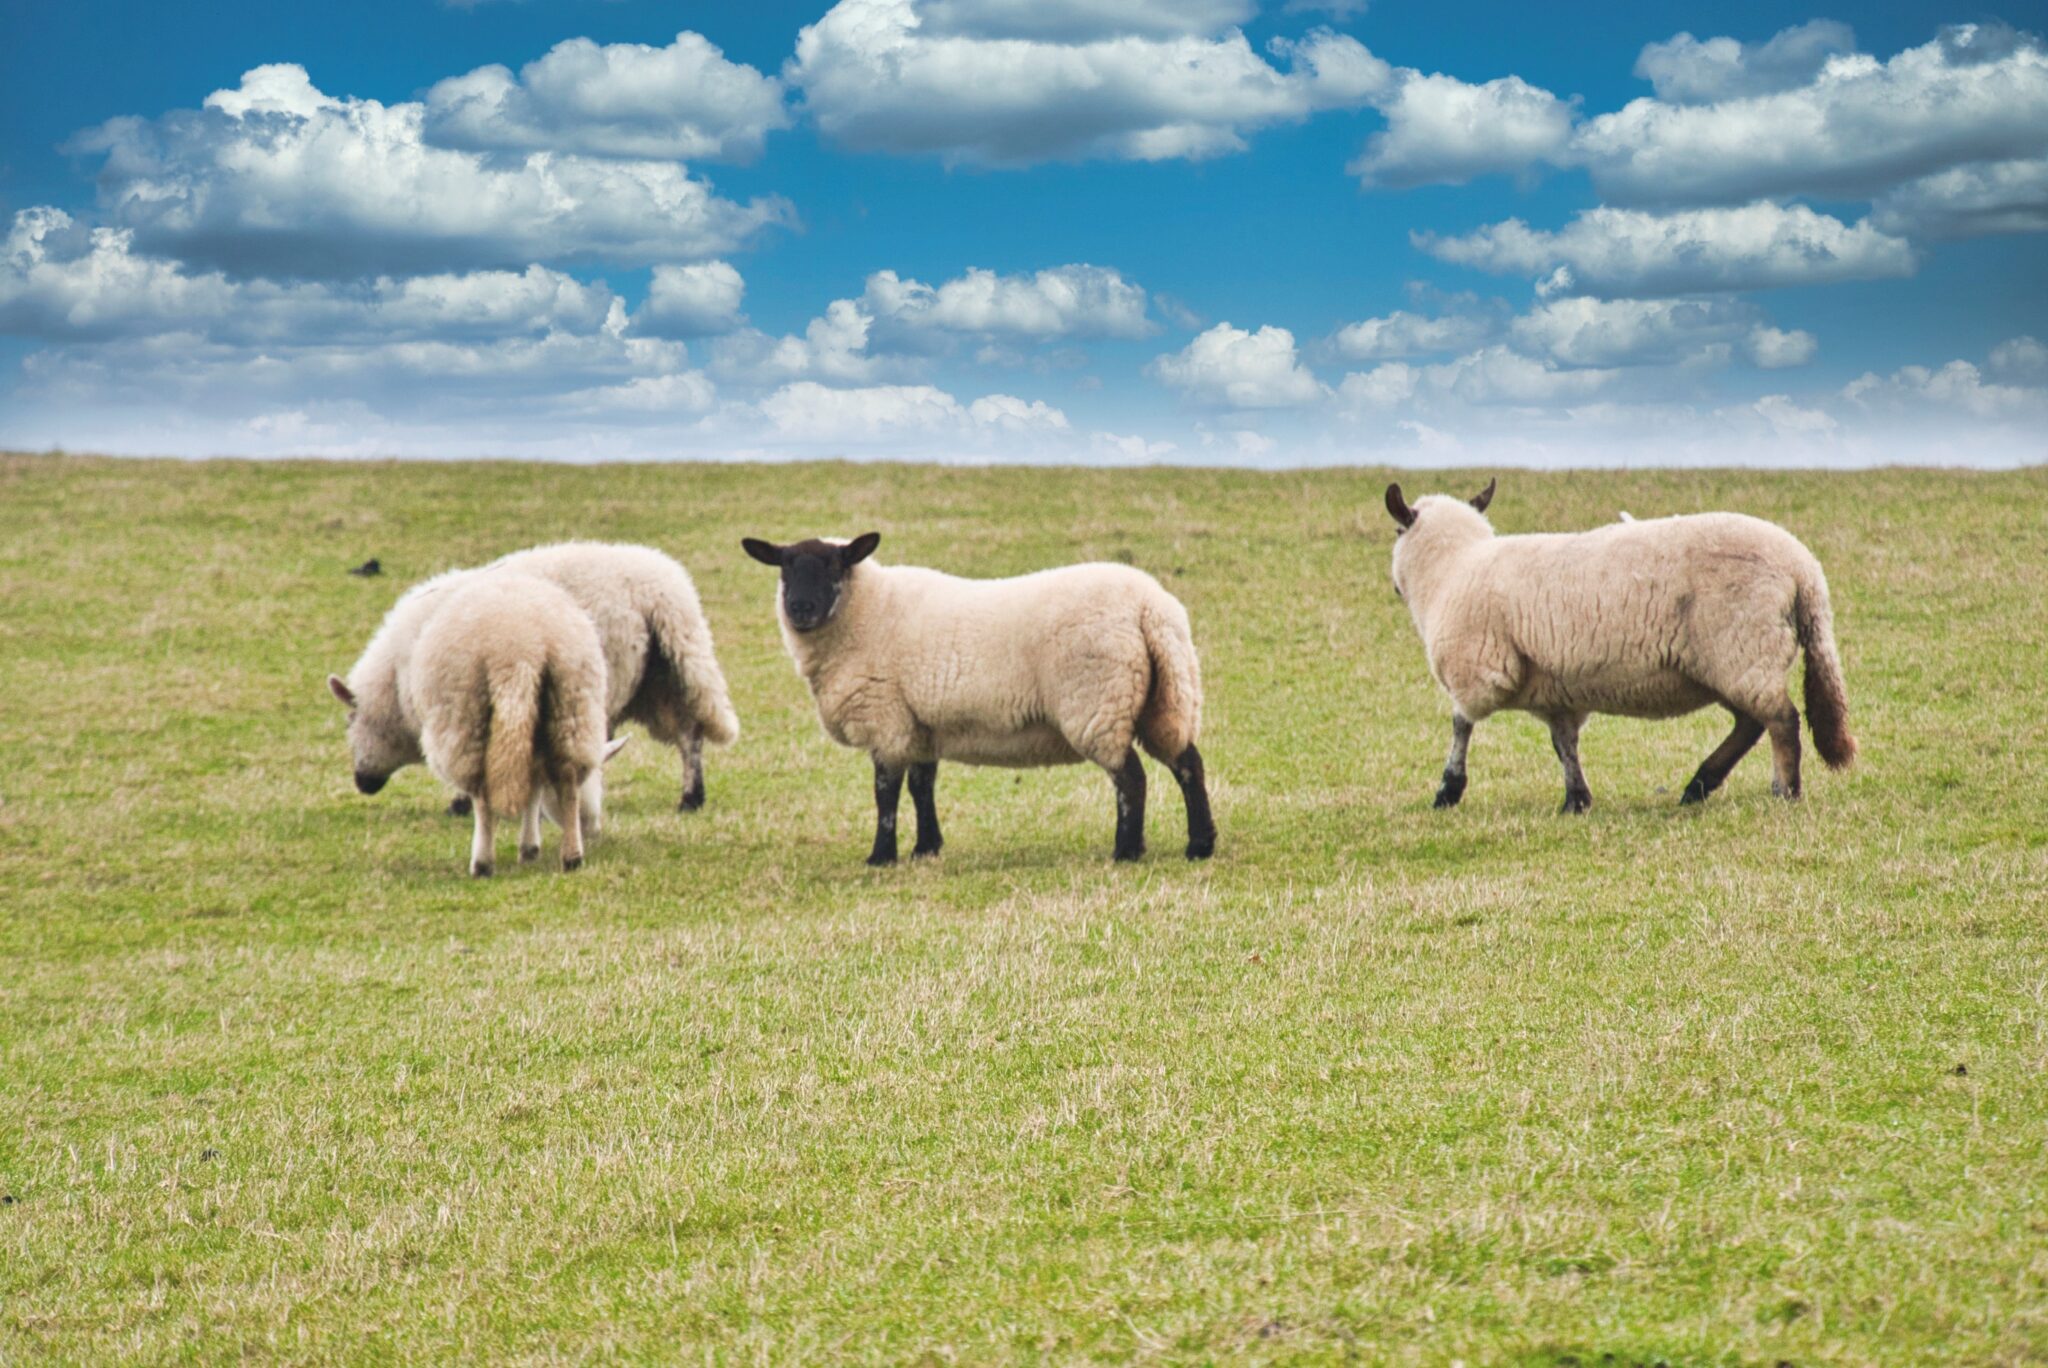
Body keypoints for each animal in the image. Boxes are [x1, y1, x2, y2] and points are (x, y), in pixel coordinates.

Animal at [328, 542, 738, 814]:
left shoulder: (455, 705)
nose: (362, 783)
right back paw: (691, 797)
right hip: (665, 675)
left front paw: (462, 803)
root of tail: (658, 593)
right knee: (689, 736)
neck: (396, 683)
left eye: (351, 721)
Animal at [328, 570, 613, 875]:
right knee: (567, 778)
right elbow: (534, 787)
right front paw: (529, 847)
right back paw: (572, 856)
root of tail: (520, 650)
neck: (394, 688)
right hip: (571, 705)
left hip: (466, 717)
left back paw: (482, 862)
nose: (362, 783)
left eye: (350, 723)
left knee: (482, 793)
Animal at [739, 532, 1216, 865]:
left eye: (835, 567)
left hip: (1098, 702)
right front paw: (926, 848)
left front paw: (881, 856)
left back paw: (1127, 851)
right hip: (1166, 697)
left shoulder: (886, 718)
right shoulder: (920, 724)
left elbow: (886, 793)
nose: (800, 609)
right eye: (784, 569)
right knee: (1188, 764)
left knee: (1131, 778)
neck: (866, 614)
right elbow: (922, 786)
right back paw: (1200, 844)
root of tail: (1150, 607)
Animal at [1383, 479, 1857, 813]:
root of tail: (1804, 568)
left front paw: (1448, 789)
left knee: (1781, 720)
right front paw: (1576, 799)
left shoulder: (1480, 667)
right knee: (1750, 723)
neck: (1451, 568)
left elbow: (1460, 724)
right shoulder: (1556, 691)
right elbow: (1564, 744)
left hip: (1743, 646)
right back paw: (1700, 784)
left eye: (1396, 529)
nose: (1394, 587)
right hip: (1731, 661)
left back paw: (1784, 790)